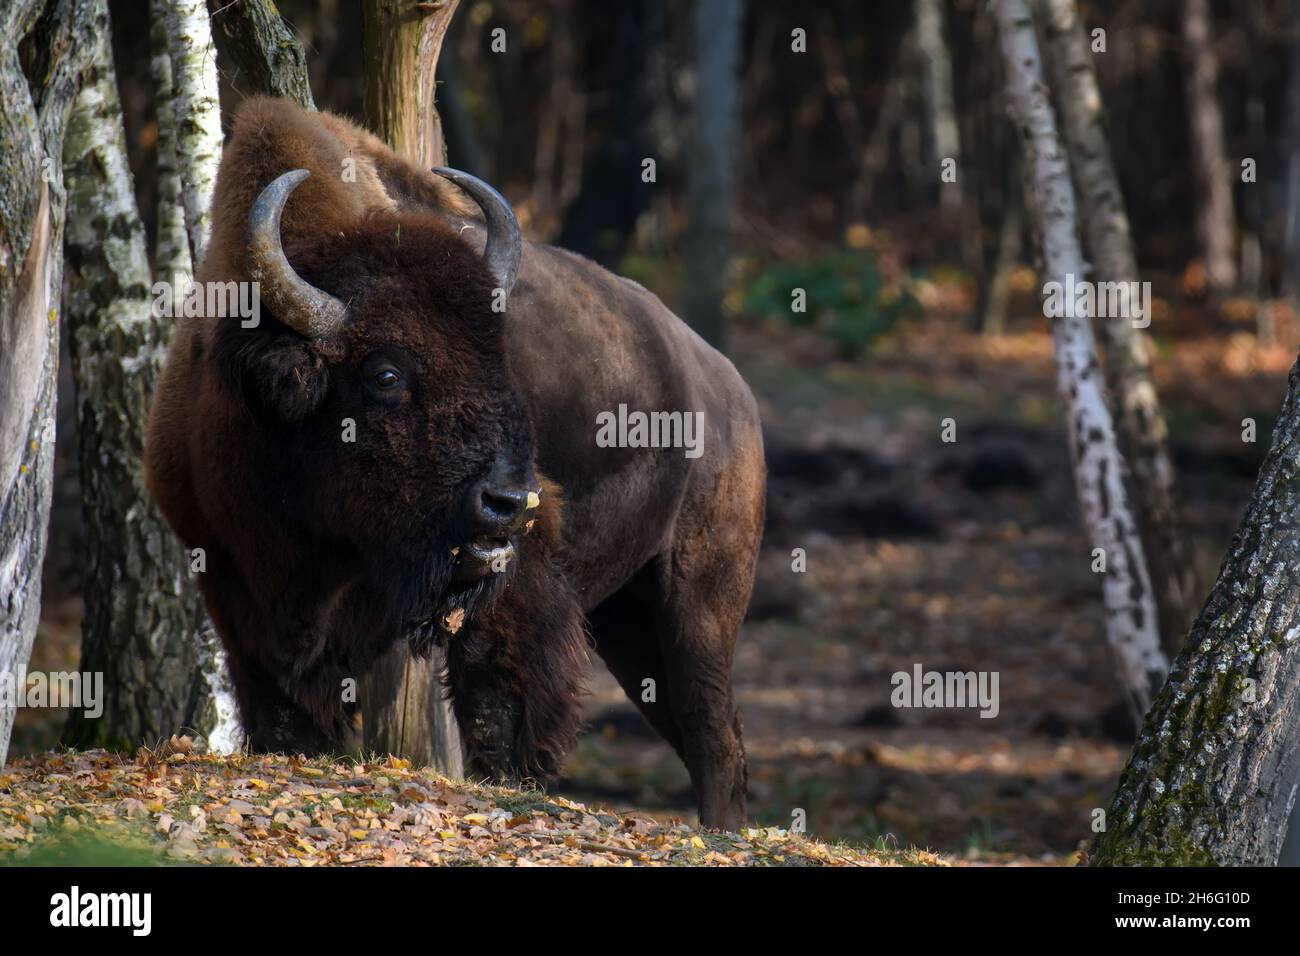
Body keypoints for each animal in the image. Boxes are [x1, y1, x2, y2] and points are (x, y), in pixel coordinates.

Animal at [145, 97, 766, 830]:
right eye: (385, 374)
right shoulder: (231, 581)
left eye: (499, 356)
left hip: (699, 598)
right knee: (693, 726)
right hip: (628, 621)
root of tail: (728, 384)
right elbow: (282, 709)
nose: (509, 503)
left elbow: (498, 701)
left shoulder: (512, 582)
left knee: (712, 730)